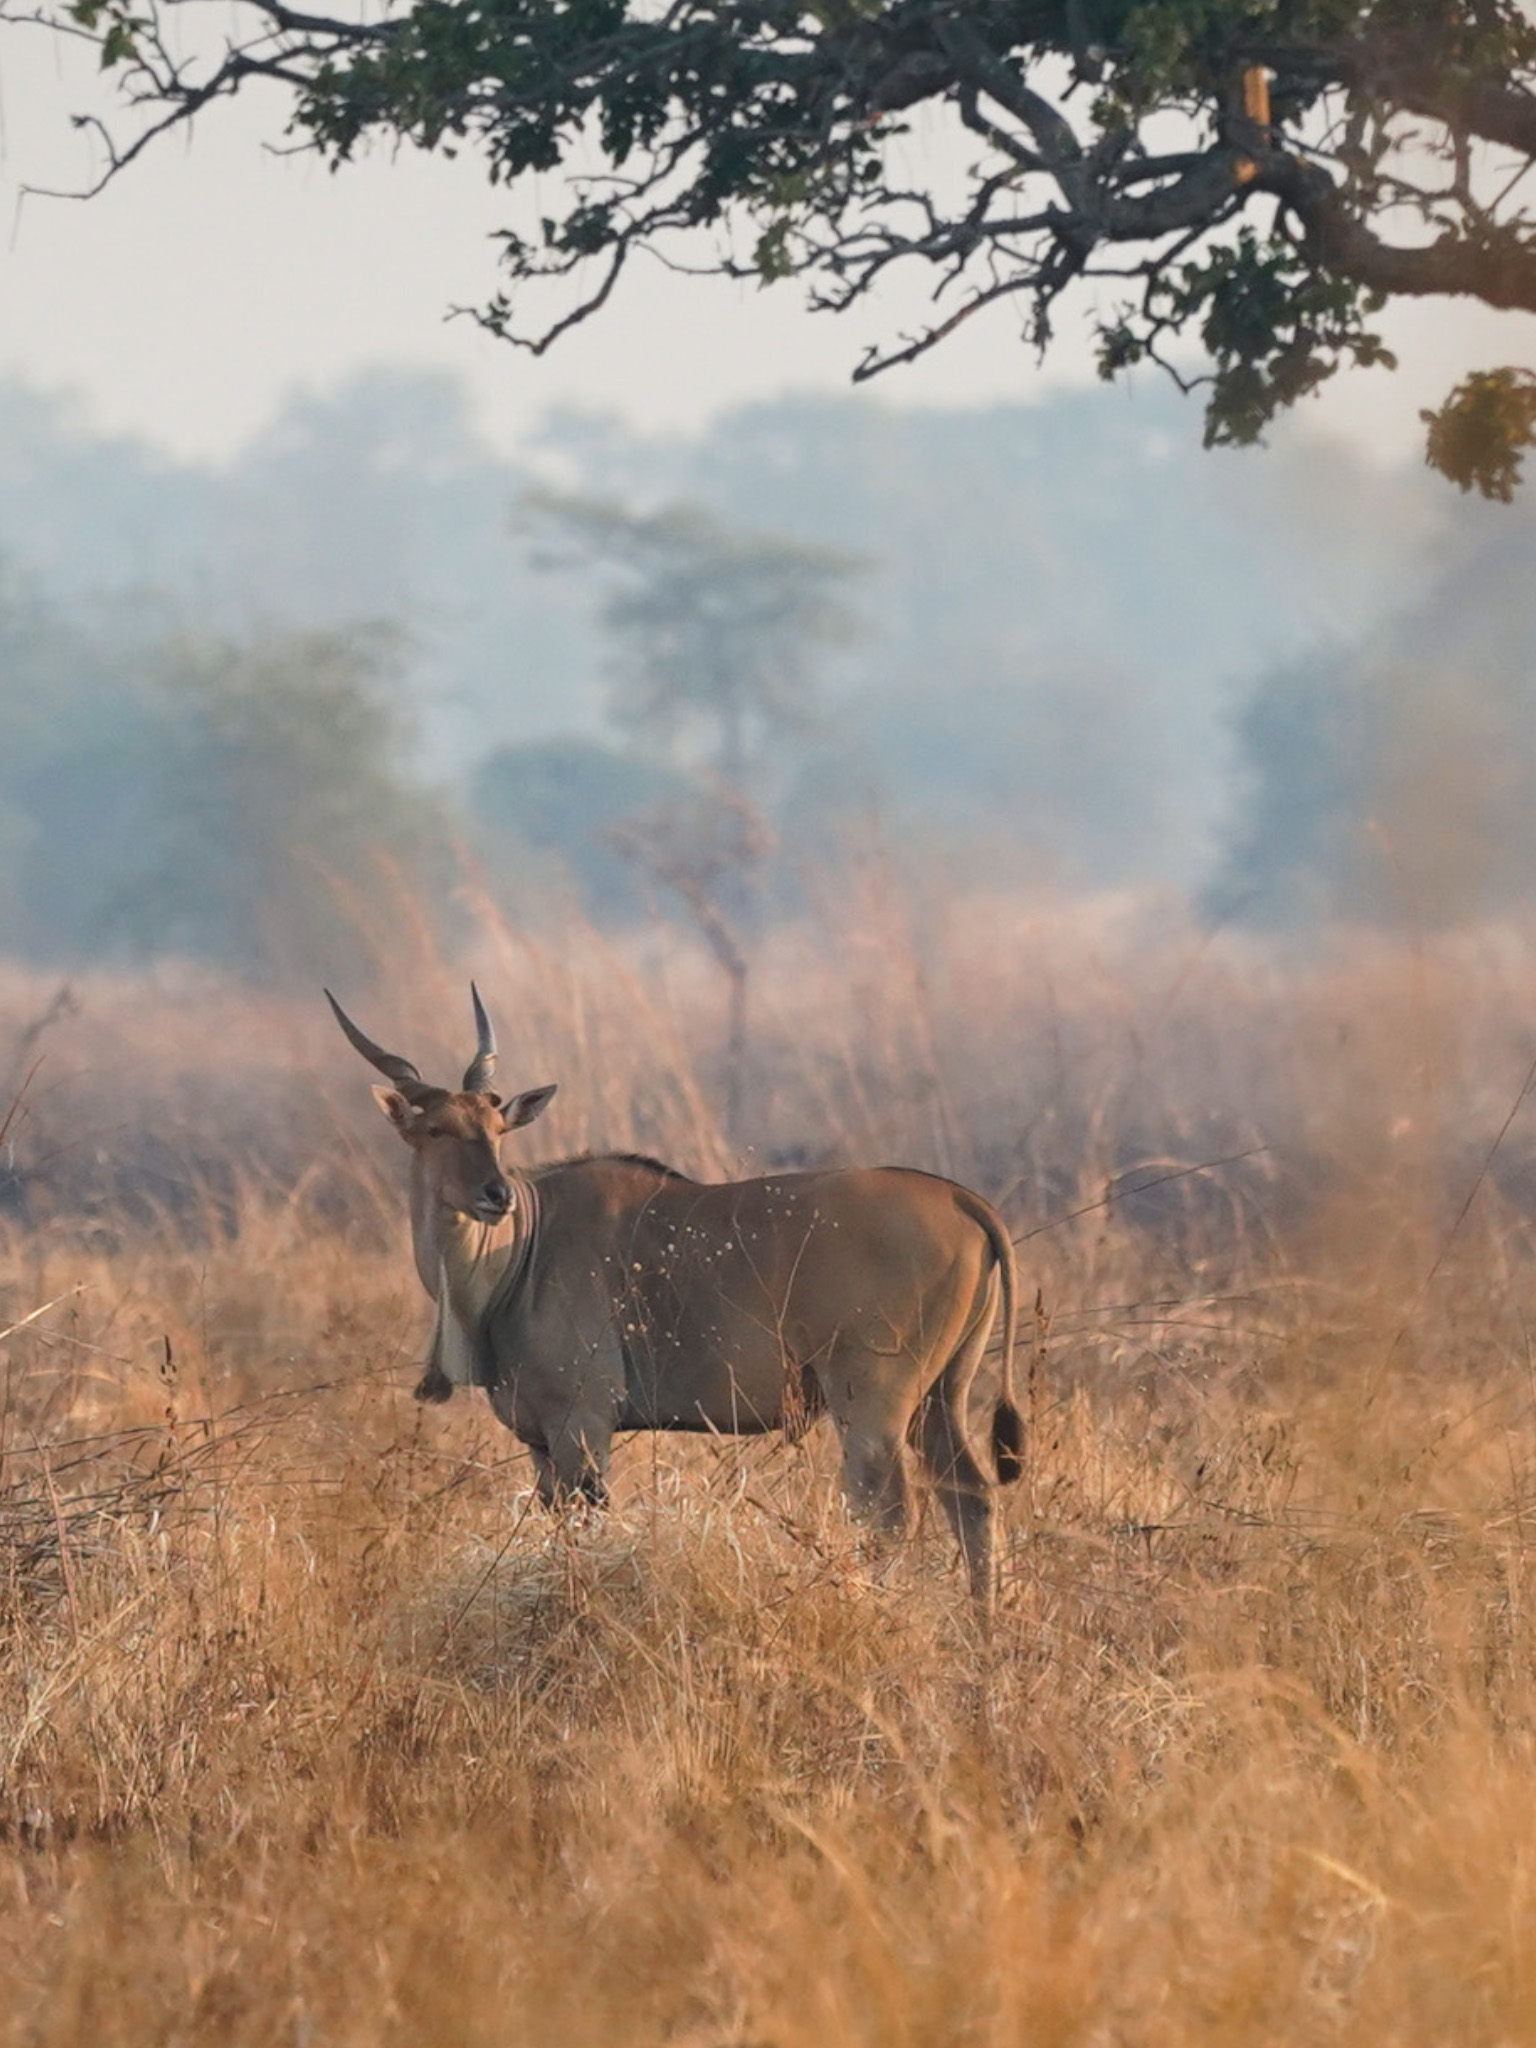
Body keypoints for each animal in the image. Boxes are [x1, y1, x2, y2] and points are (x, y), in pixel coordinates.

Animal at [327, 986, 1025, 1605]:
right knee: (973, 1495)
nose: (496, 1194)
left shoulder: (583, 1424)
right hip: (942, 1394)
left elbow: (588, 1527)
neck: (521, 1250)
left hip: (874, 1402)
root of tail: (962, 1199)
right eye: (437, 1130)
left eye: (498, 1128)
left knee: (889, 1513)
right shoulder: (541, 1440)